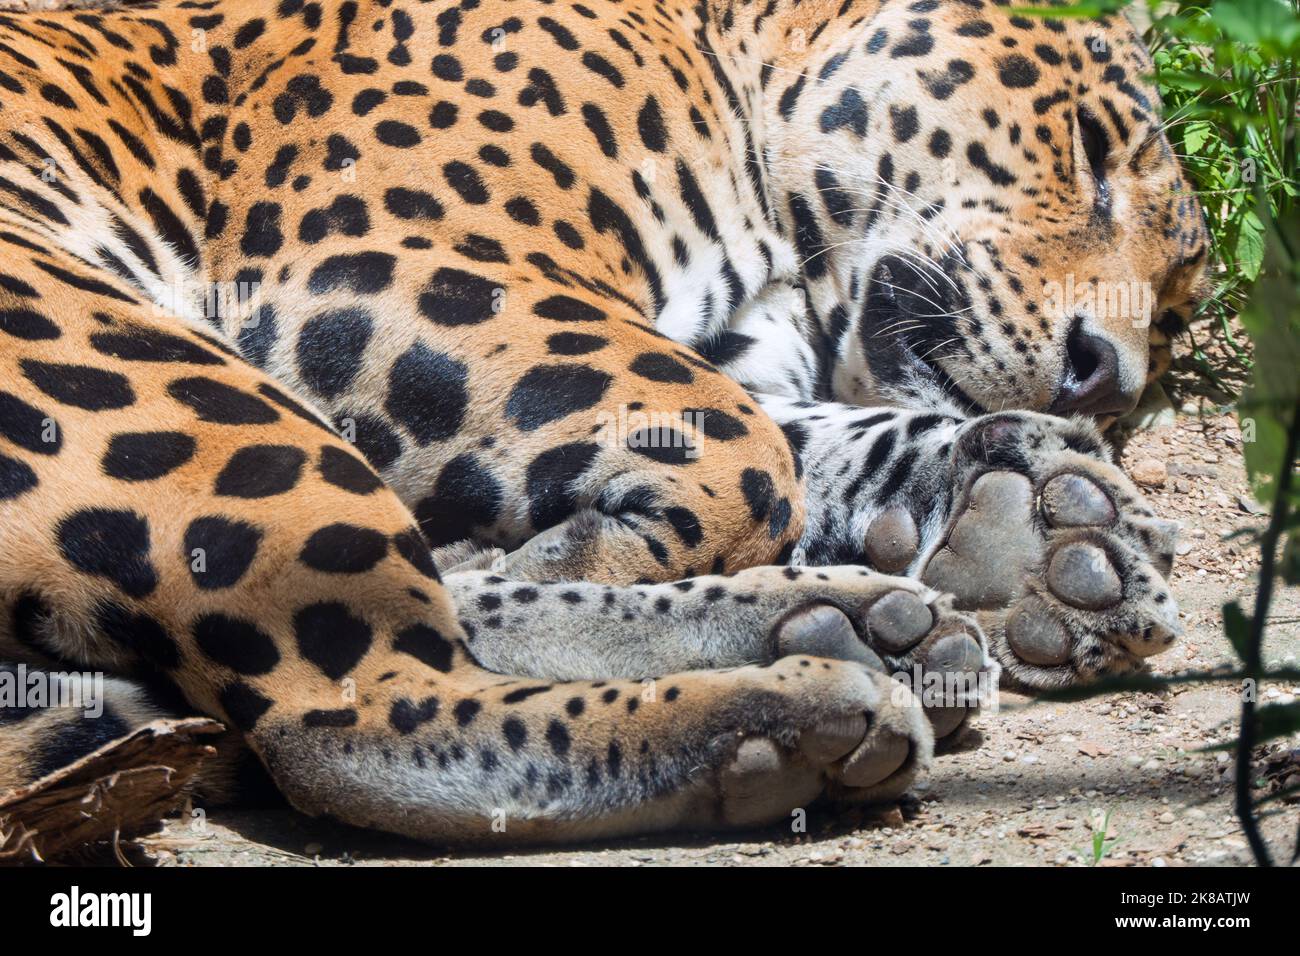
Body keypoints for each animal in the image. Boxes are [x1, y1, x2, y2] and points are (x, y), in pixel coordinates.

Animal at [0, 0, 1207, 847]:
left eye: (1174, 309)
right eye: (1090, 150)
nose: (1101, 376)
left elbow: (798, 443)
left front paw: (1045, 515)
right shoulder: (386, 257)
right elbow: (745, 452)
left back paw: (854, 623)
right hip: (116, 354)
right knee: (343, 713)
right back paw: (786, 713)